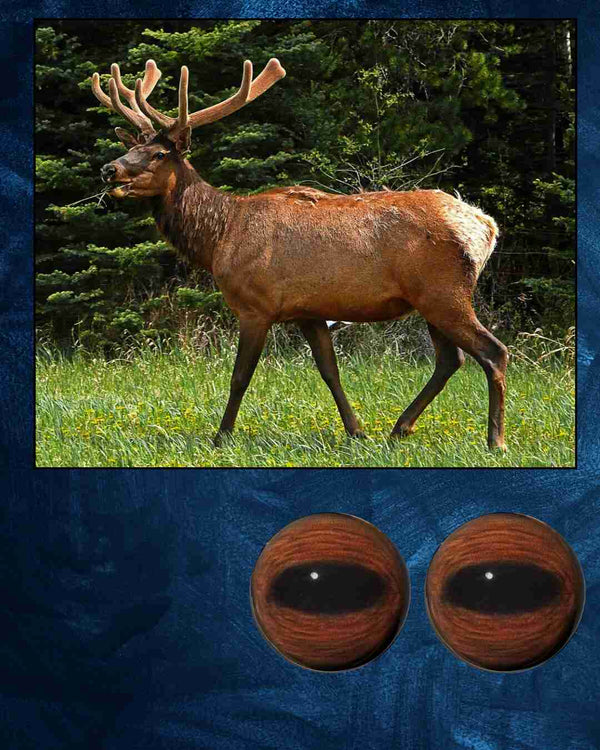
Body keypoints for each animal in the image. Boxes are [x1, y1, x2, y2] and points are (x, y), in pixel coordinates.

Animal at [91, 58, 508, 450]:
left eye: (159, 153)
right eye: (131, 147)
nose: (109, 169)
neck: (219, 237)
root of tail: (486, 227)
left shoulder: (256, 306)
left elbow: (240, 376)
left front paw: (221, 437)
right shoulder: (309, 311)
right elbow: (329, 371)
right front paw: (356, 432)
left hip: (443, 292)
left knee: (493, 351)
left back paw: (495, 440)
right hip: (429, 299)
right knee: (450, 359)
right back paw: (399, 428)